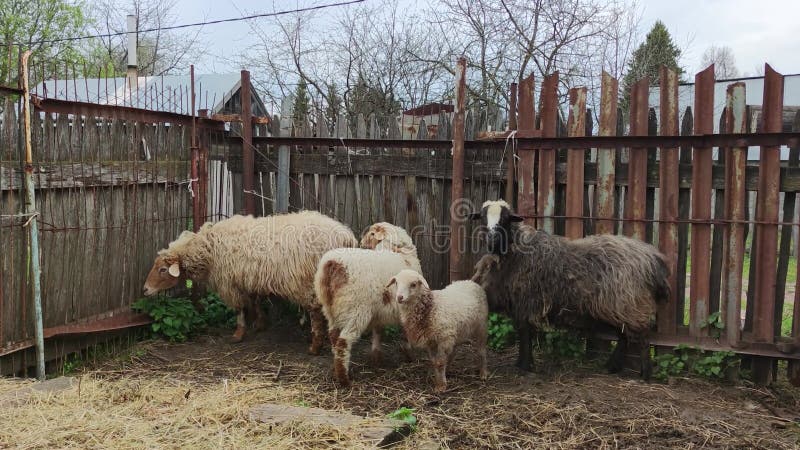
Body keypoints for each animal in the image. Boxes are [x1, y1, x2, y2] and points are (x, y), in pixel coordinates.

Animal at [142, 211, 358, 353]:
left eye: (162, 270)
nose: (145, 289)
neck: (209, 250)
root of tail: (346, 236)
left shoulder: (229, 282)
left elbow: (239, 308)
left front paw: (238, 334)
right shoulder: (250, 277)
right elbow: (254, 300)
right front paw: (260, 323)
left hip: (309, 282)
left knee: (314, 310)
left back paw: (315, 345)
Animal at [315, 222, 422, 387]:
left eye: (371, 234)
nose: (361, 243)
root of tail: (333, 264)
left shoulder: (380, 308)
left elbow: (378, 331)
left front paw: (376, 359)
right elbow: (406, 332)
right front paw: (409, 355)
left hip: (330, 309)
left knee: (333, 336)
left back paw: (336, 369)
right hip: (356, 310)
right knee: (343, 341)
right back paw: (344, 379)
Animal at [468, 200, 670, 381]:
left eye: (505, 219)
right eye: (483, 218)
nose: (491, 239)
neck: (515, 252)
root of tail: (653, 258)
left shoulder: (526, 301)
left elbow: (525, 333)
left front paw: (525, 366)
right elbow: (522, 332)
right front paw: (521, 363)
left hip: (631, 303)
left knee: (642, 338)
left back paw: (645, 375)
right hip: (620, 306)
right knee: (624, 336)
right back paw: (612, 367)